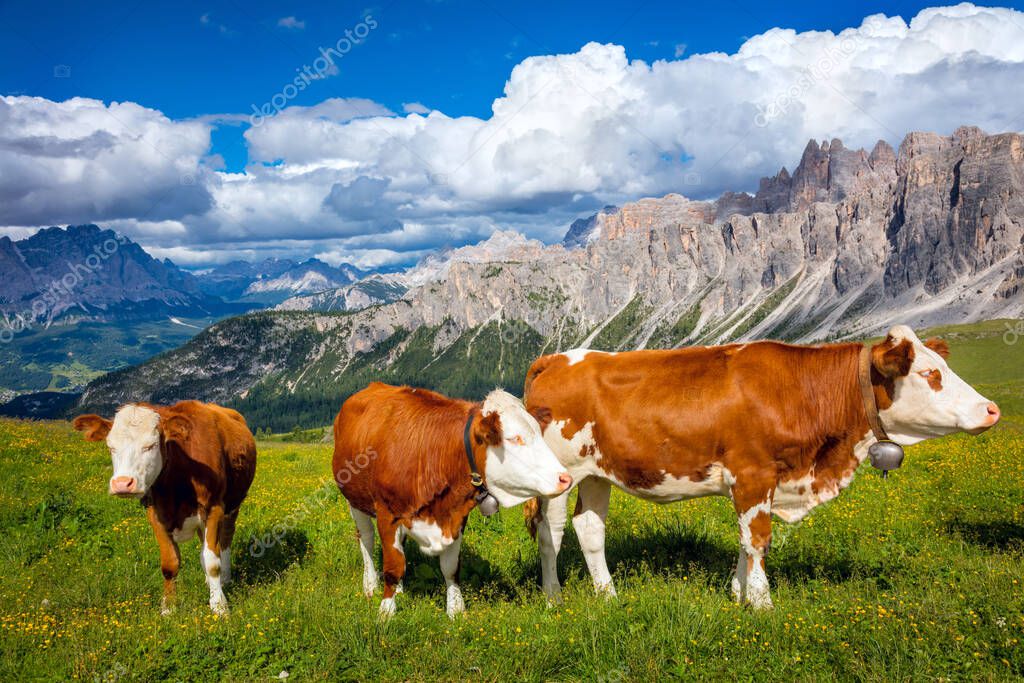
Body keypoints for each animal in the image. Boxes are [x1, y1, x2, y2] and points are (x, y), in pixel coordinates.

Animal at [73, 401, 257, 615]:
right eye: (111, 446)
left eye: (151, 445)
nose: (122, 483)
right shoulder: (156, 514)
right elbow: (170, 564)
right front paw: (168, 608)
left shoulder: (214, 508)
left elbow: (213, 562)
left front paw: (219, 606)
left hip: (233, 505)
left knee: (225, 539)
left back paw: (225, 579)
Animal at [332, 382, 573, 618]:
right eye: (515, 438)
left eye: (539, 434)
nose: (565, 478)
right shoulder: (387, 514)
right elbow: (393, 567)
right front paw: (386, 612)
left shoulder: (456, 515)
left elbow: (450, 567)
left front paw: (456, 610)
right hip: (355, 502)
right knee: (366, 539)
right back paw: (370, 585)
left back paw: (399, 589)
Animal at [522, 325, 1001, 609]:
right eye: (929, 375)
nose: (991, 409)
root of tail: (557, 358)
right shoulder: (753, 474)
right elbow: (758, 540)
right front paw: (762, 603)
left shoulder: (757, 483)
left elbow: (745, 538)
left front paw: (738, 595)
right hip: (561, 473)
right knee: (551, 532)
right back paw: (553, 599)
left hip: (597, 473)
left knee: (589, 529)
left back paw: (608, 596)